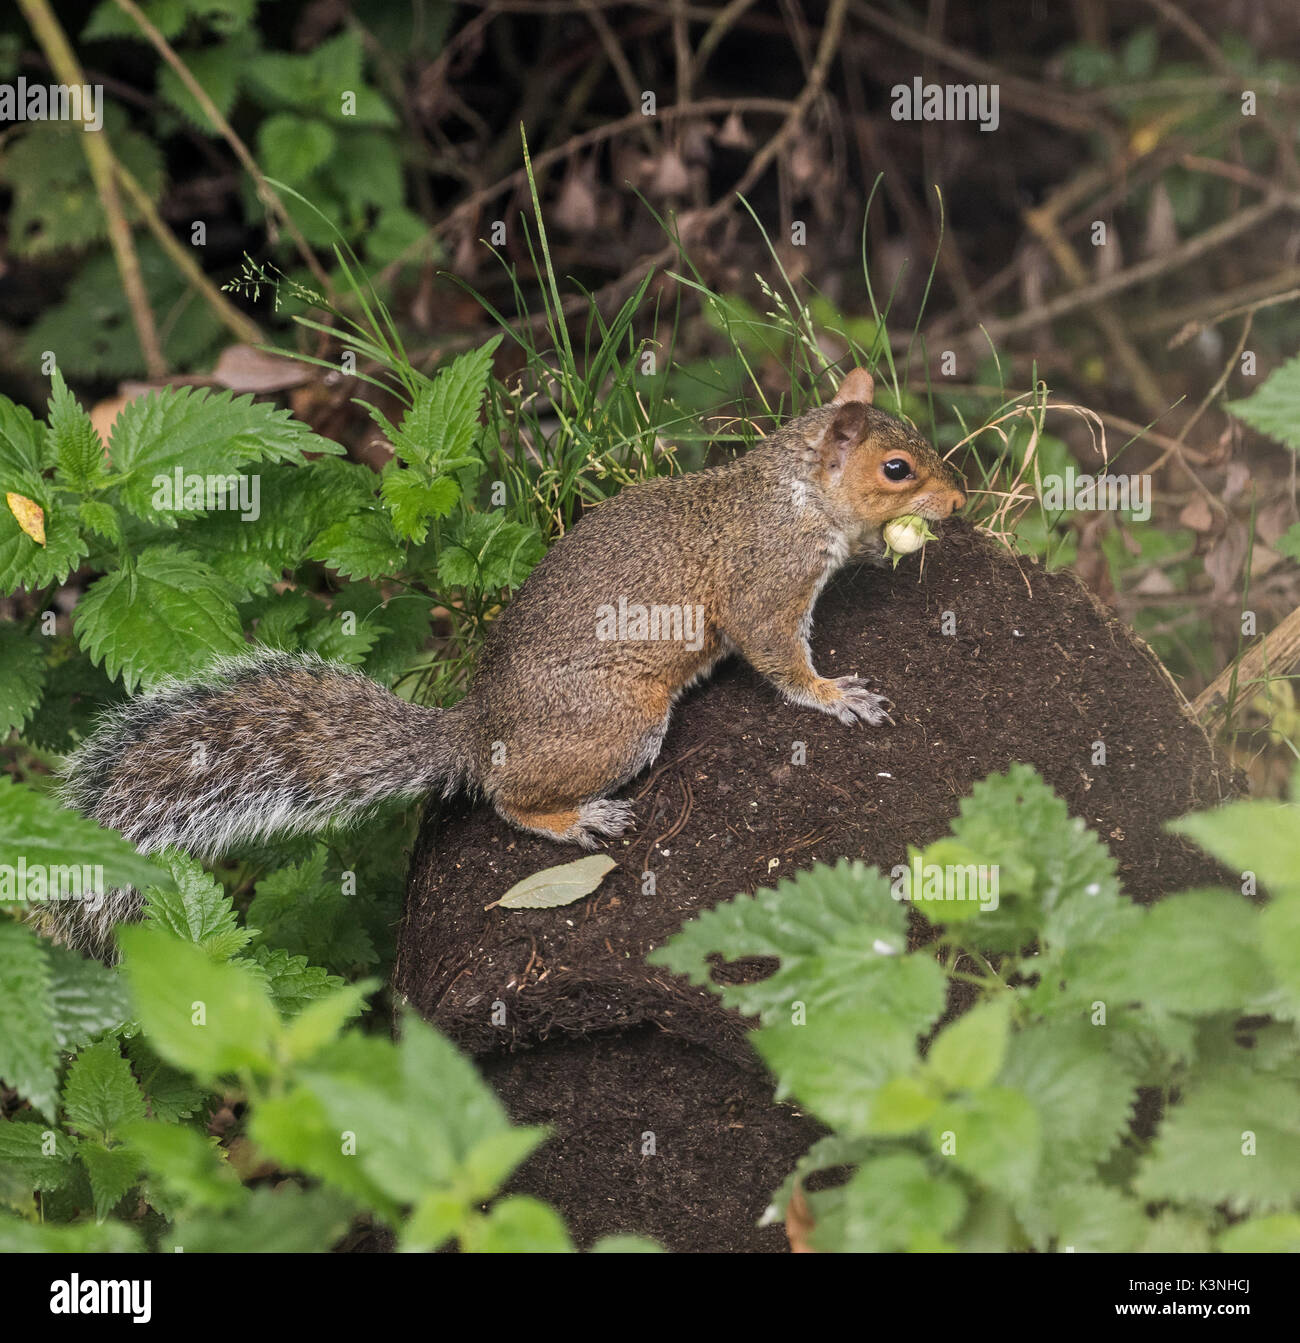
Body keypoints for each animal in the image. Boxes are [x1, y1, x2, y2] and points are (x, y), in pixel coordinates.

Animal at [57, 368, 964, 950]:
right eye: (896, 467)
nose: (958, 501)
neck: (796, 495)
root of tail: (477, 728)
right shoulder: (765, 585)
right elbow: (777, 655)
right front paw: (835, 693)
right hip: (618, 724)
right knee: (507, 798)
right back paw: (580, 818)